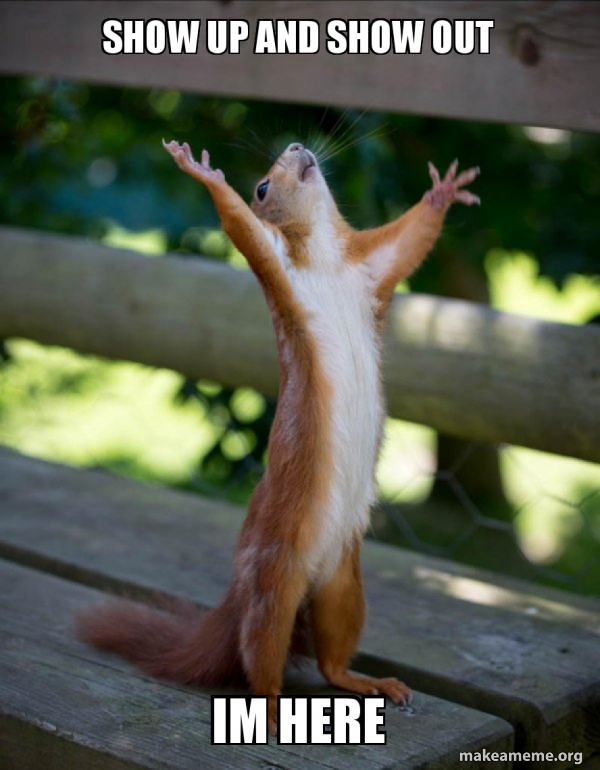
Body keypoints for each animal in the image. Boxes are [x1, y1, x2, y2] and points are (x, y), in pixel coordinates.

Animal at [77, 138, 479, 735]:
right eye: (262, 187)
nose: (296, 146)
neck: (327, 257)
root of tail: (239, 595)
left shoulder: (372, 267)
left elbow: (409, 241)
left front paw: (443, 192)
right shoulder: (277, 266)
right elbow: (240, 226)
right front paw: (204, 174)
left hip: (344, 585)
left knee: (332, 659)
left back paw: (368, 681)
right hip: (274, 583)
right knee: (259, 656)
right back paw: (268, 708)